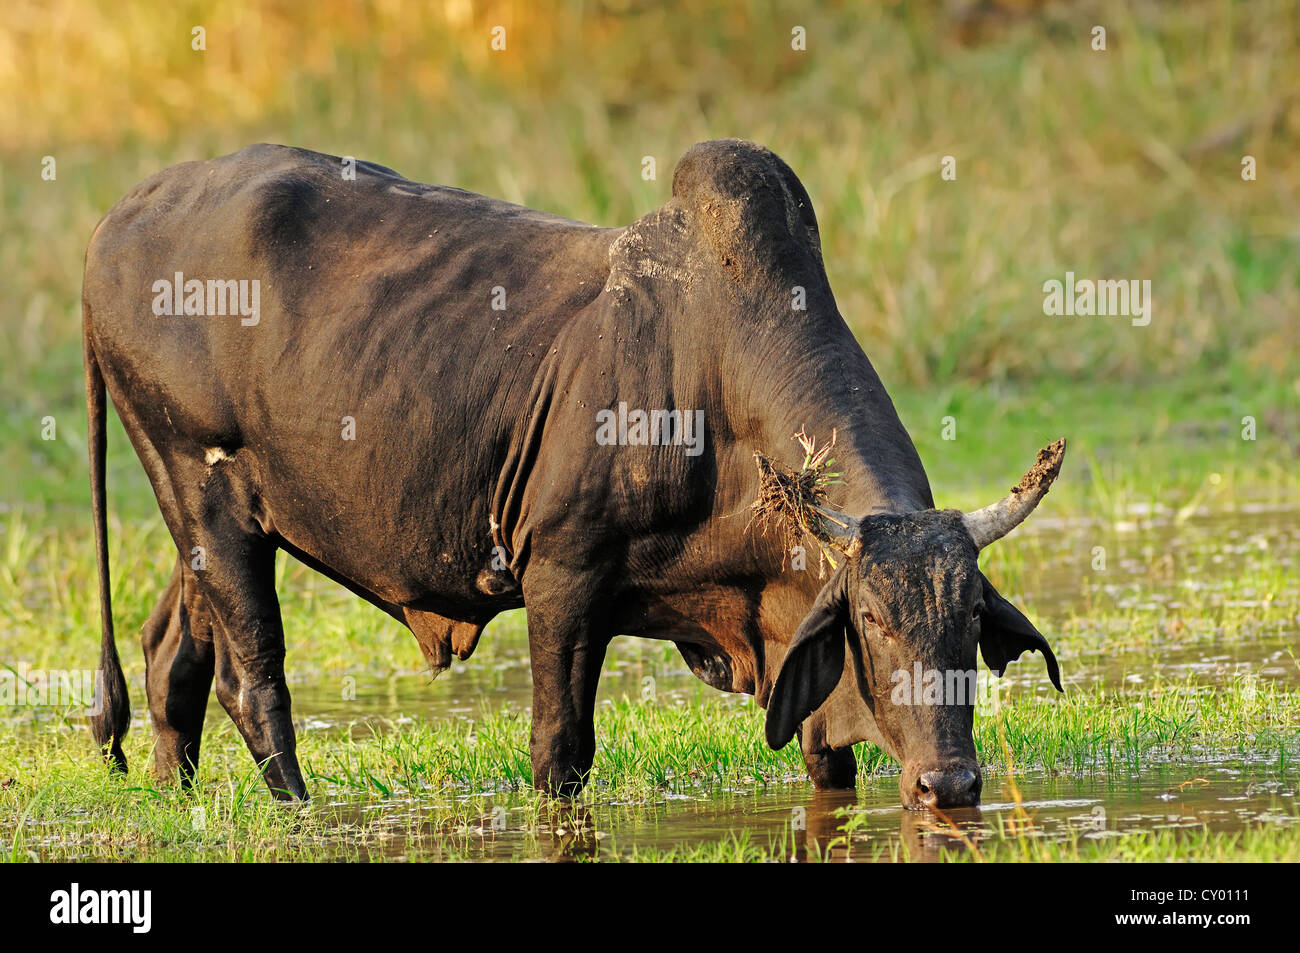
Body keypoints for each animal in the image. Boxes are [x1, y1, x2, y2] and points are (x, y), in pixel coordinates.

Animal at [82, 139, 1064, 809]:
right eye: (871, 620)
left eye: (970, 623)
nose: (949, 784)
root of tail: (119, 215)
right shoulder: (560, 574)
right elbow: (559, 754)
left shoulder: (797, 653)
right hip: (206, 500)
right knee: (254, 681)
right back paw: (300, 805)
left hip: (214, 518)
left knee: (172, 654)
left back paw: (173, 792)